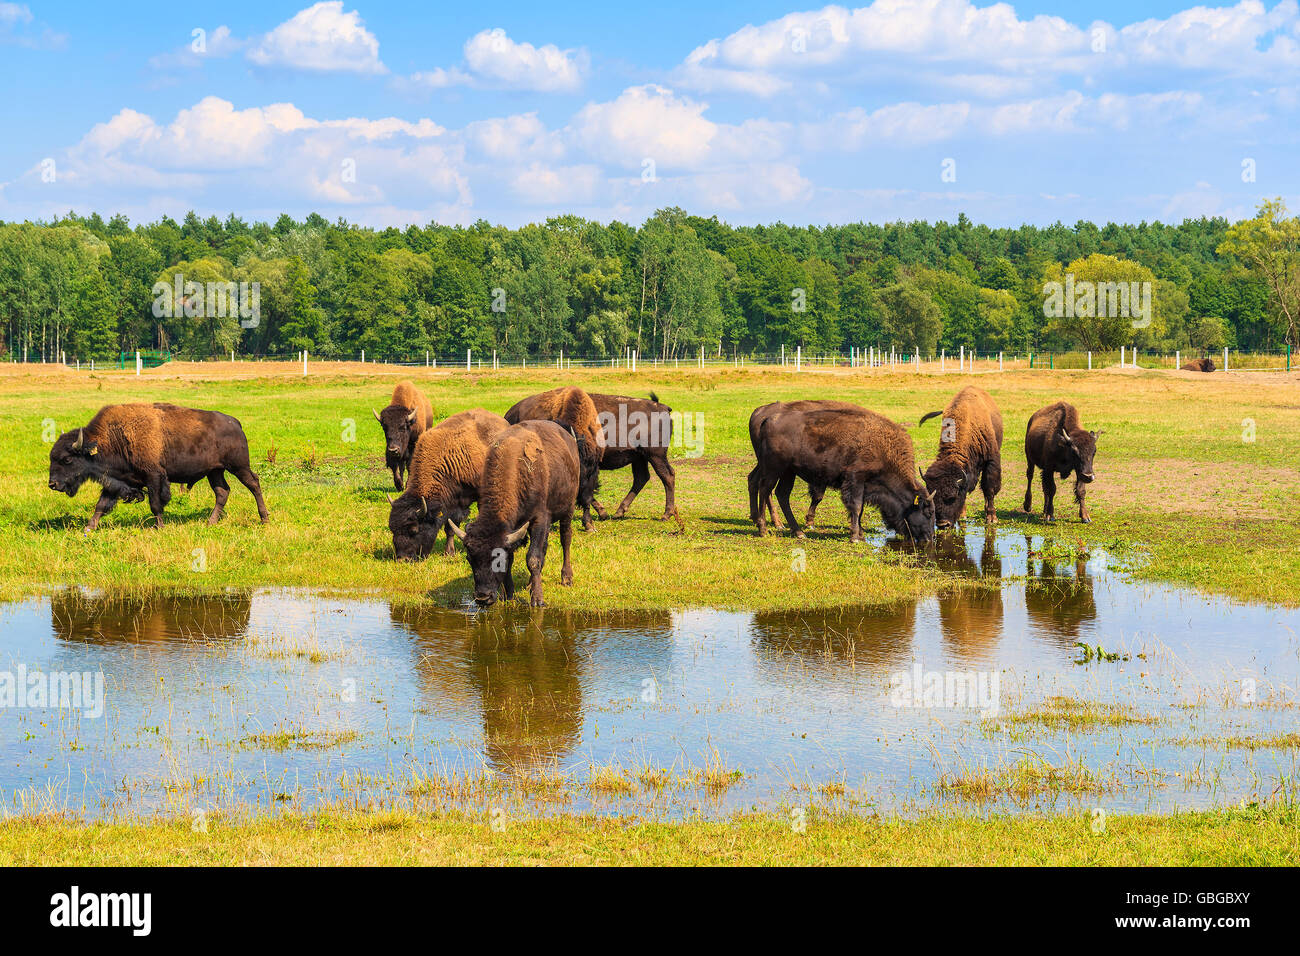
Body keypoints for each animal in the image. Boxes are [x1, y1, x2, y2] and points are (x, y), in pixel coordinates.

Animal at [48, 402, 268, 531]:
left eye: (67, 460)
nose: (52, 484)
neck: (114, 437)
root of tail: (235, 423)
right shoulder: (116, 481)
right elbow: (101, 505)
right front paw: (88, 528)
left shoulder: (153, 476)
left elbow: (155, 504)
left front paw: (160, 527)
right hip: (215, 471)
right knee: (222, 492)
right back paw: (210, 522)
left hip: (238, 466)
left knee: (253, 483)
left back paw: (264, 519)